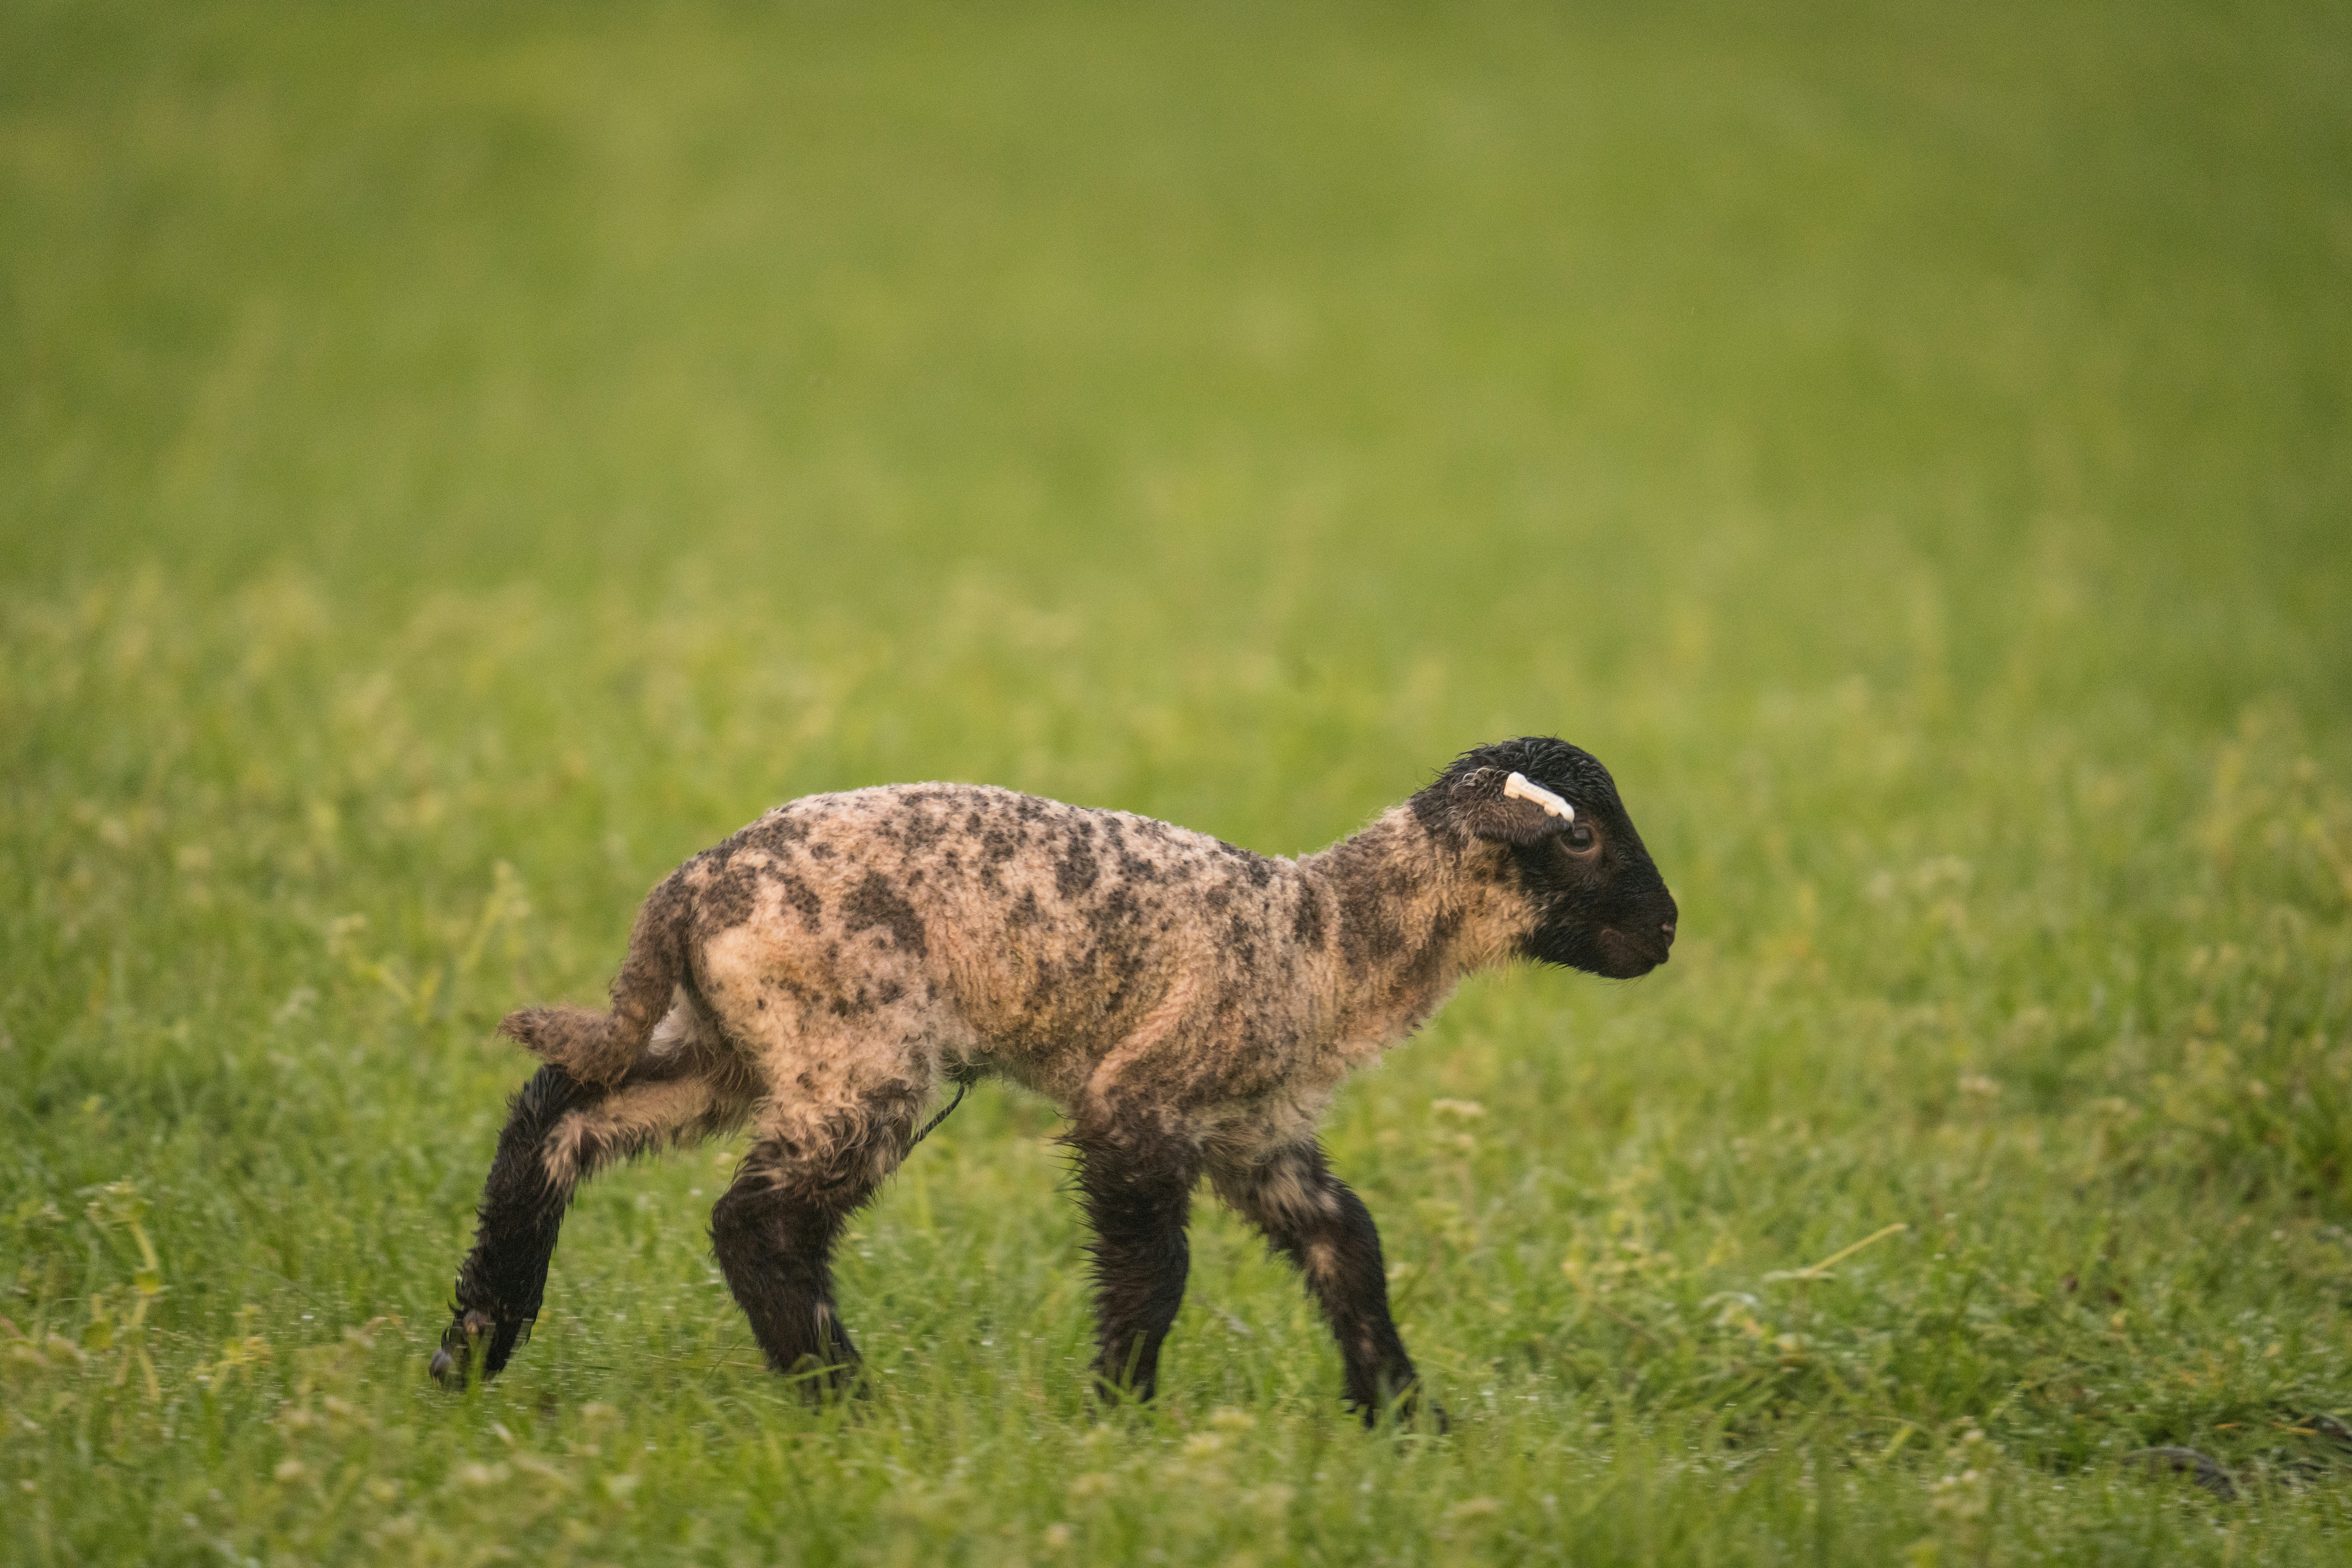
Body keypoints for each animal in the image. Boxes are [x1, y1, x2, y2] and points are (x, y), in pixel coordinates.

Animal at [429, 735, 1678, 1423]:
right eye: (1578, 840)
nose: (1667, 931)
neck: (1330, 935)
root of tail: (687, 887)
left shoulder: (1252, 1129)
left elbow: (1349, 1248)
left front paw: (1407, 1419)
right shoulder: (1139, 1100)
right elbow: (1154, 1273)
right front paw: (1119, 1412)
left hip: (735, 1041)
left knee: (555, 1120)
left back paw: (473, 1348)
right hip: (857, 1049)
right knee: (755, 1220)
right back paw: (843, 1399)